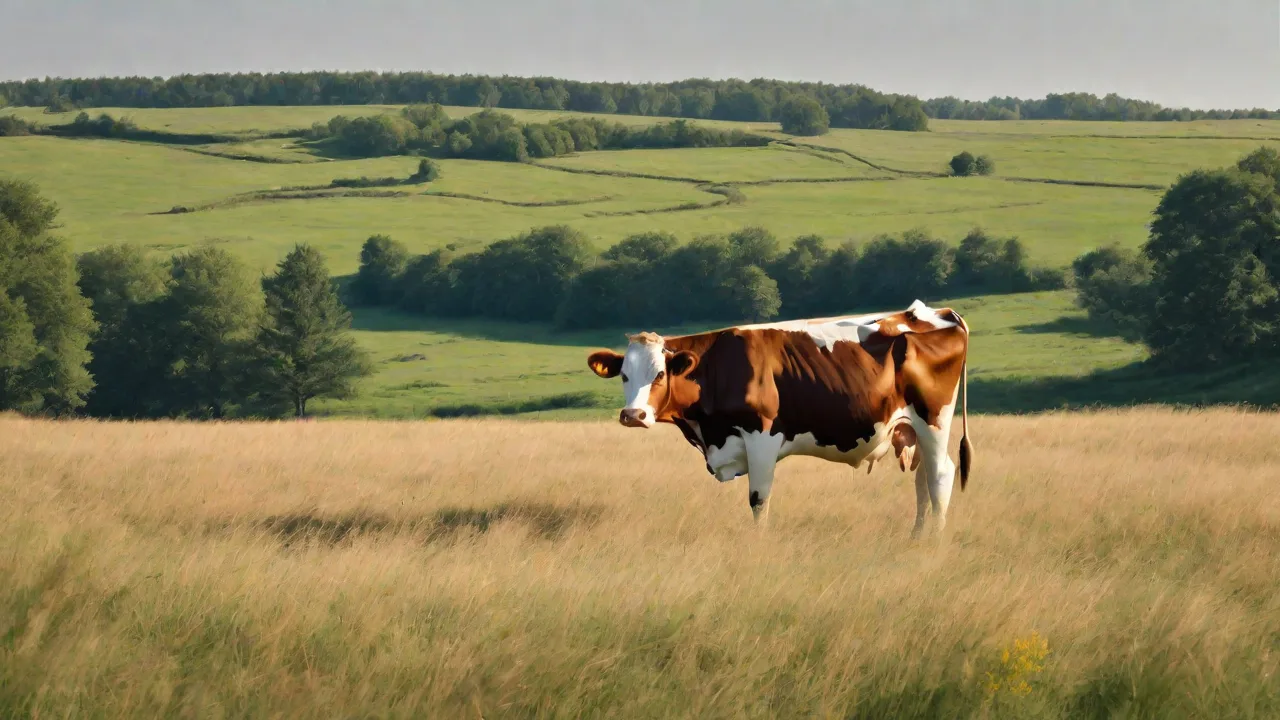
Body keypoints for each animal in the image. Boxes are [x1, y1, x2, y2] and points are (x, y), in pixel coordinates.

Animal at [586, 299, 972, 536]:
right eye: (624, 375)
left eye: (659, 375)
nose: (633, 414)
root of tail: (939, 311)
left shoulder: (761, 436)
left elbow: (759, 499)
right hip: (912, 430)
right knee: (923, 480)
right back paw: (917, 535)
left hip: (934, 419)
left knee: (940, 475)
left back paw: (934, 539)